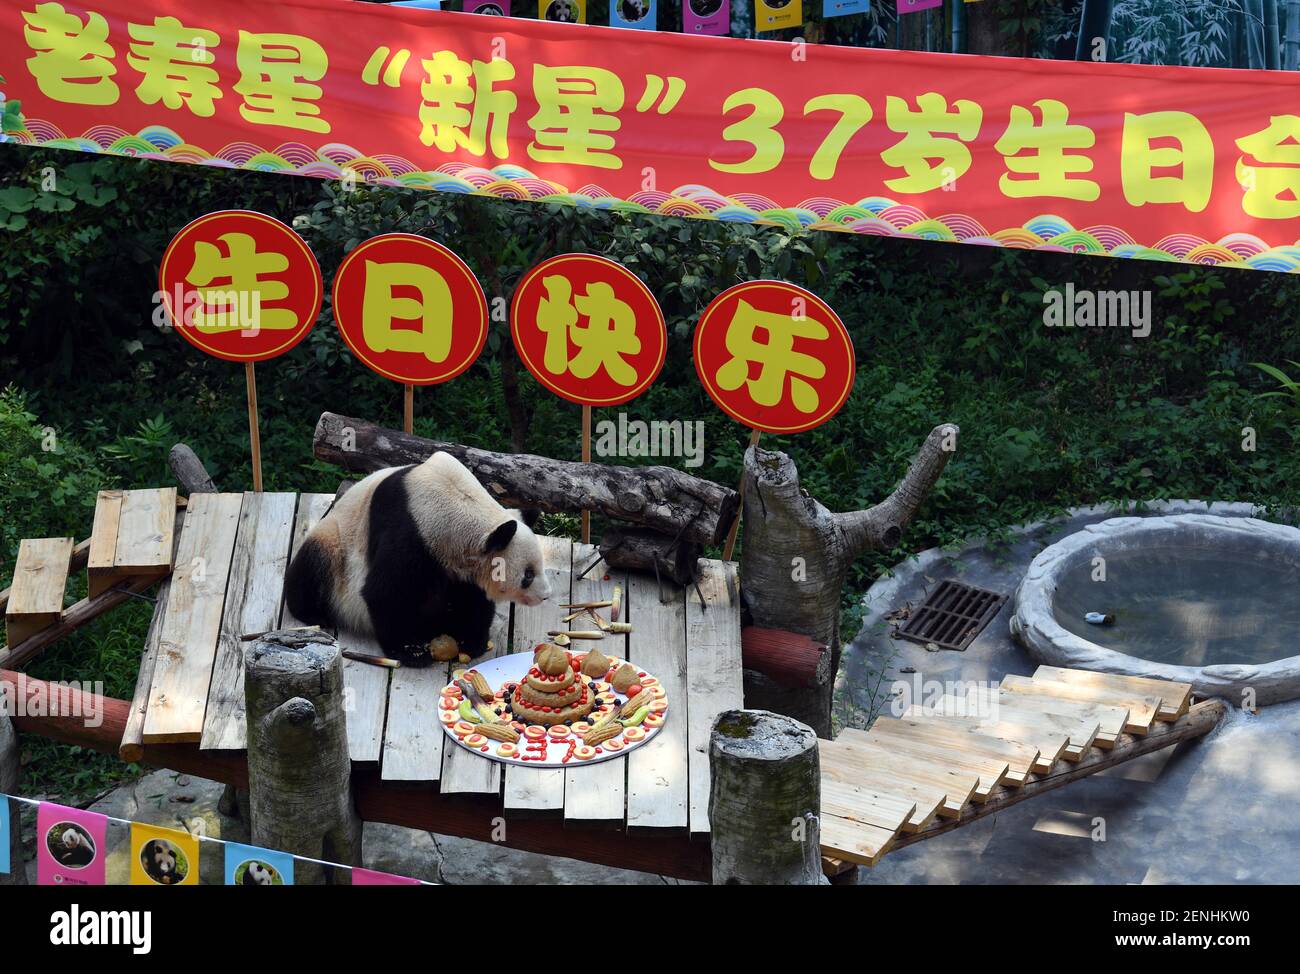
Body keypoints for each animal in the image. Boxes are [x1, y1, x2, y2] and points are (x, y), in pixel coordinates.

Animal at [283, 451, 552, 666]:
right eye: (528, 575)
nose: (545, 596)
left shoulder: (462, 566)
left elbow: (472, 598)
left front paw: (471, 641)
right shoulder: (409, 530)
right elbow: (385, 593)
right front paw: (412, 652)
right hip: (335, 543)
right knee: (313, 566)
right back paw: (314, 614)